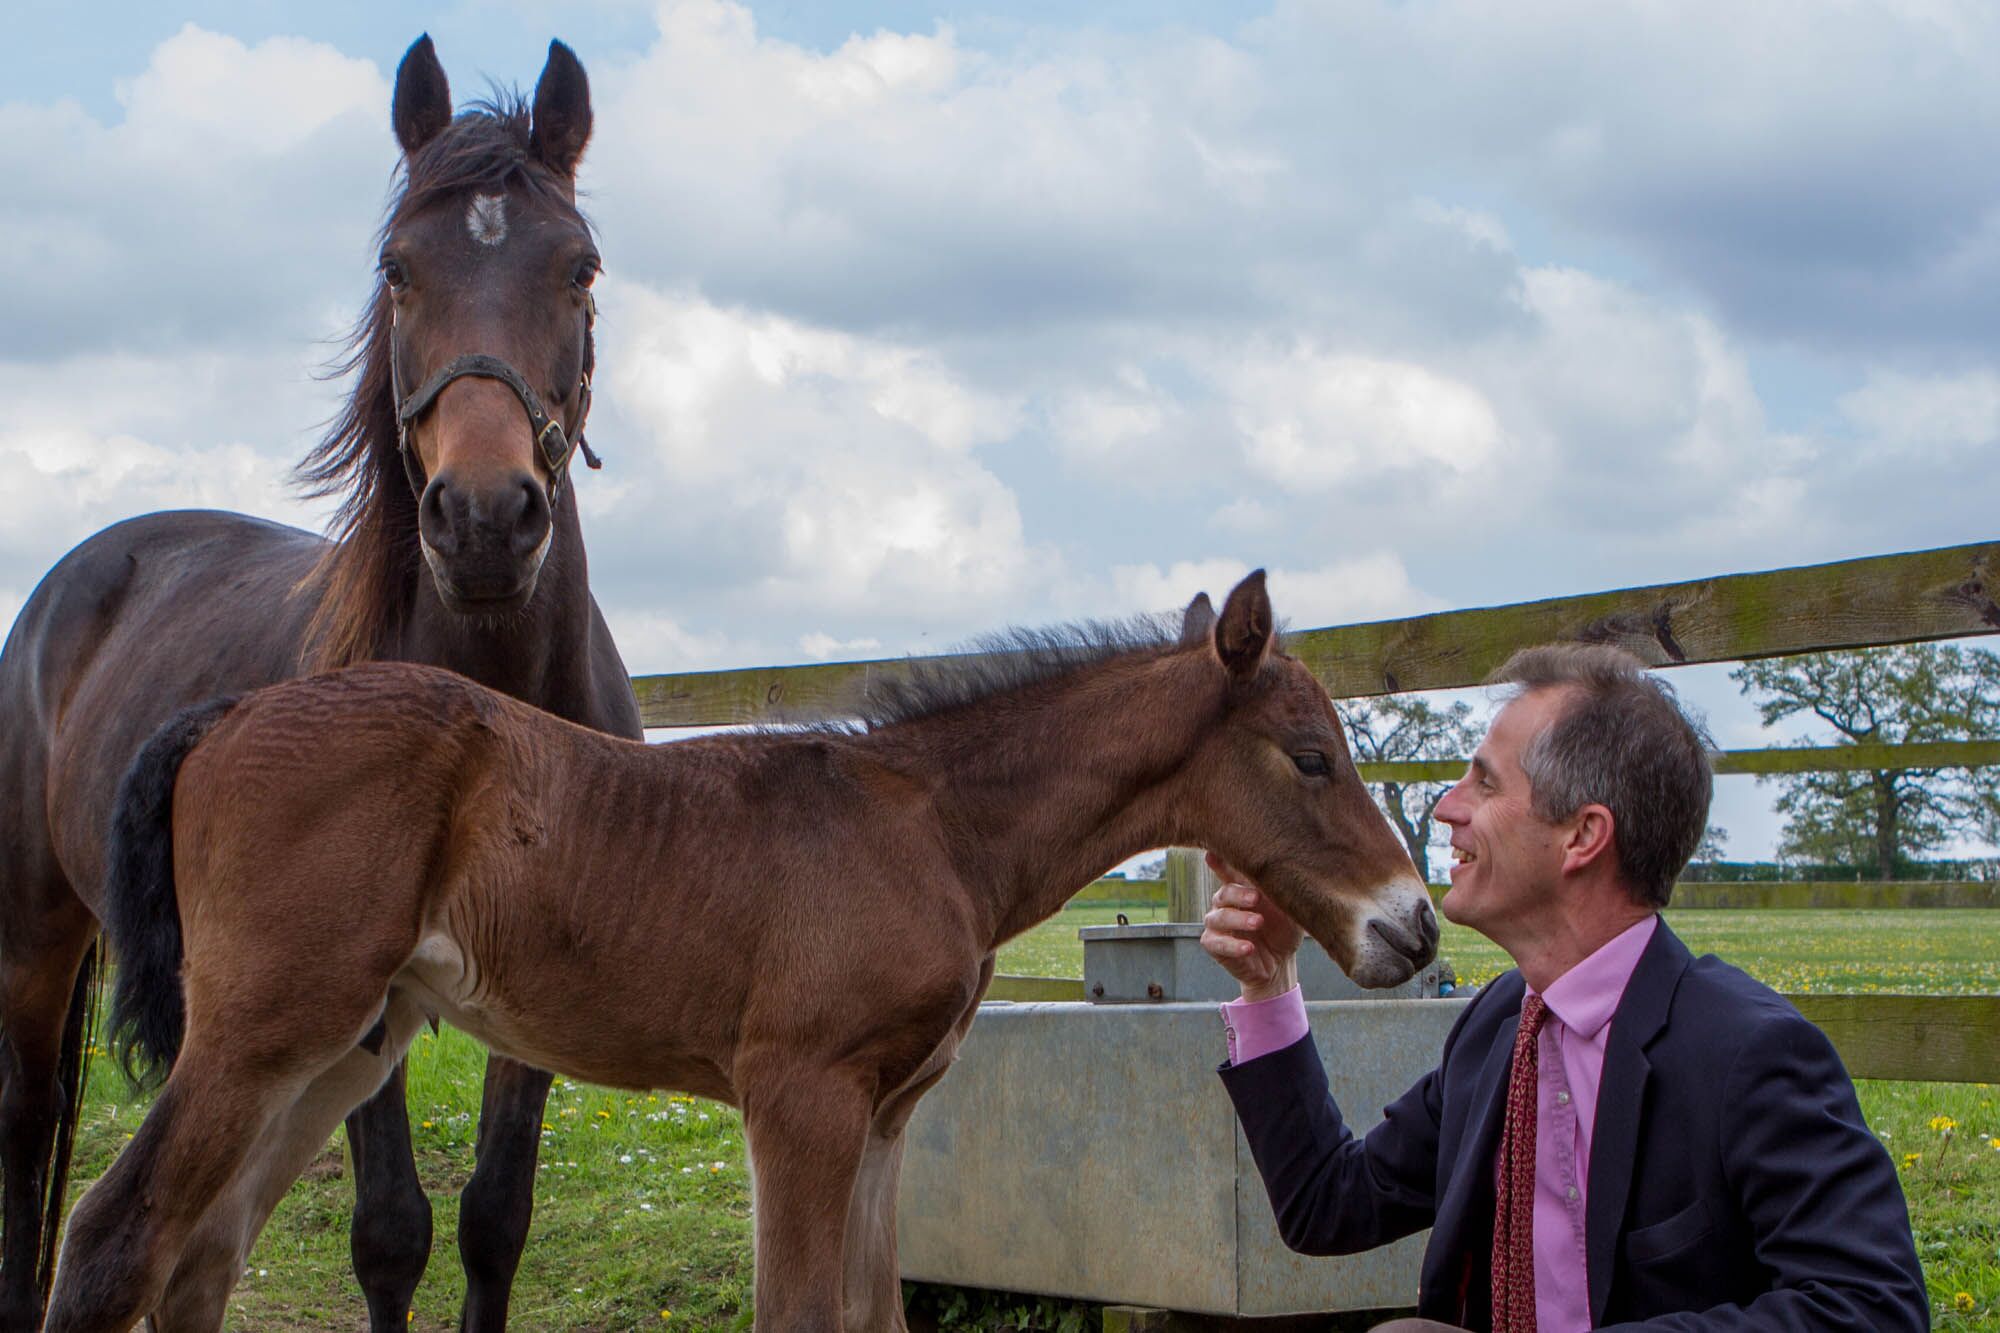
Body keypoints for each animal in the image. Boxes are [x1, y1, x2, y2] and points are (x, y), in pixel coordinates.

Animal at [0, 36, 640, 1332]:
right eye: (398, 270)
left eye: (580, 268)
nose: (484, 520)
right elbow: (391, 1228)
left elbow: (495, 1218)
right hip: (37, 940)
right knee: (27, 1130)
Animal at [45, 569, 1438, 1333]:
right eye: (1308, 757)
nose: (1412, 925)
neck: (930, 823)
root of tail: (227, 712)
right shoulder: (799, 1094)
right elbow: (800, 1314)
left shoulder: (884, 1114)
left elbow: (873, 1316)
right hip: (261, 1027)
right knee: (115, 1236)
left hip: (341, 1046)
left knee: (196, 1259)